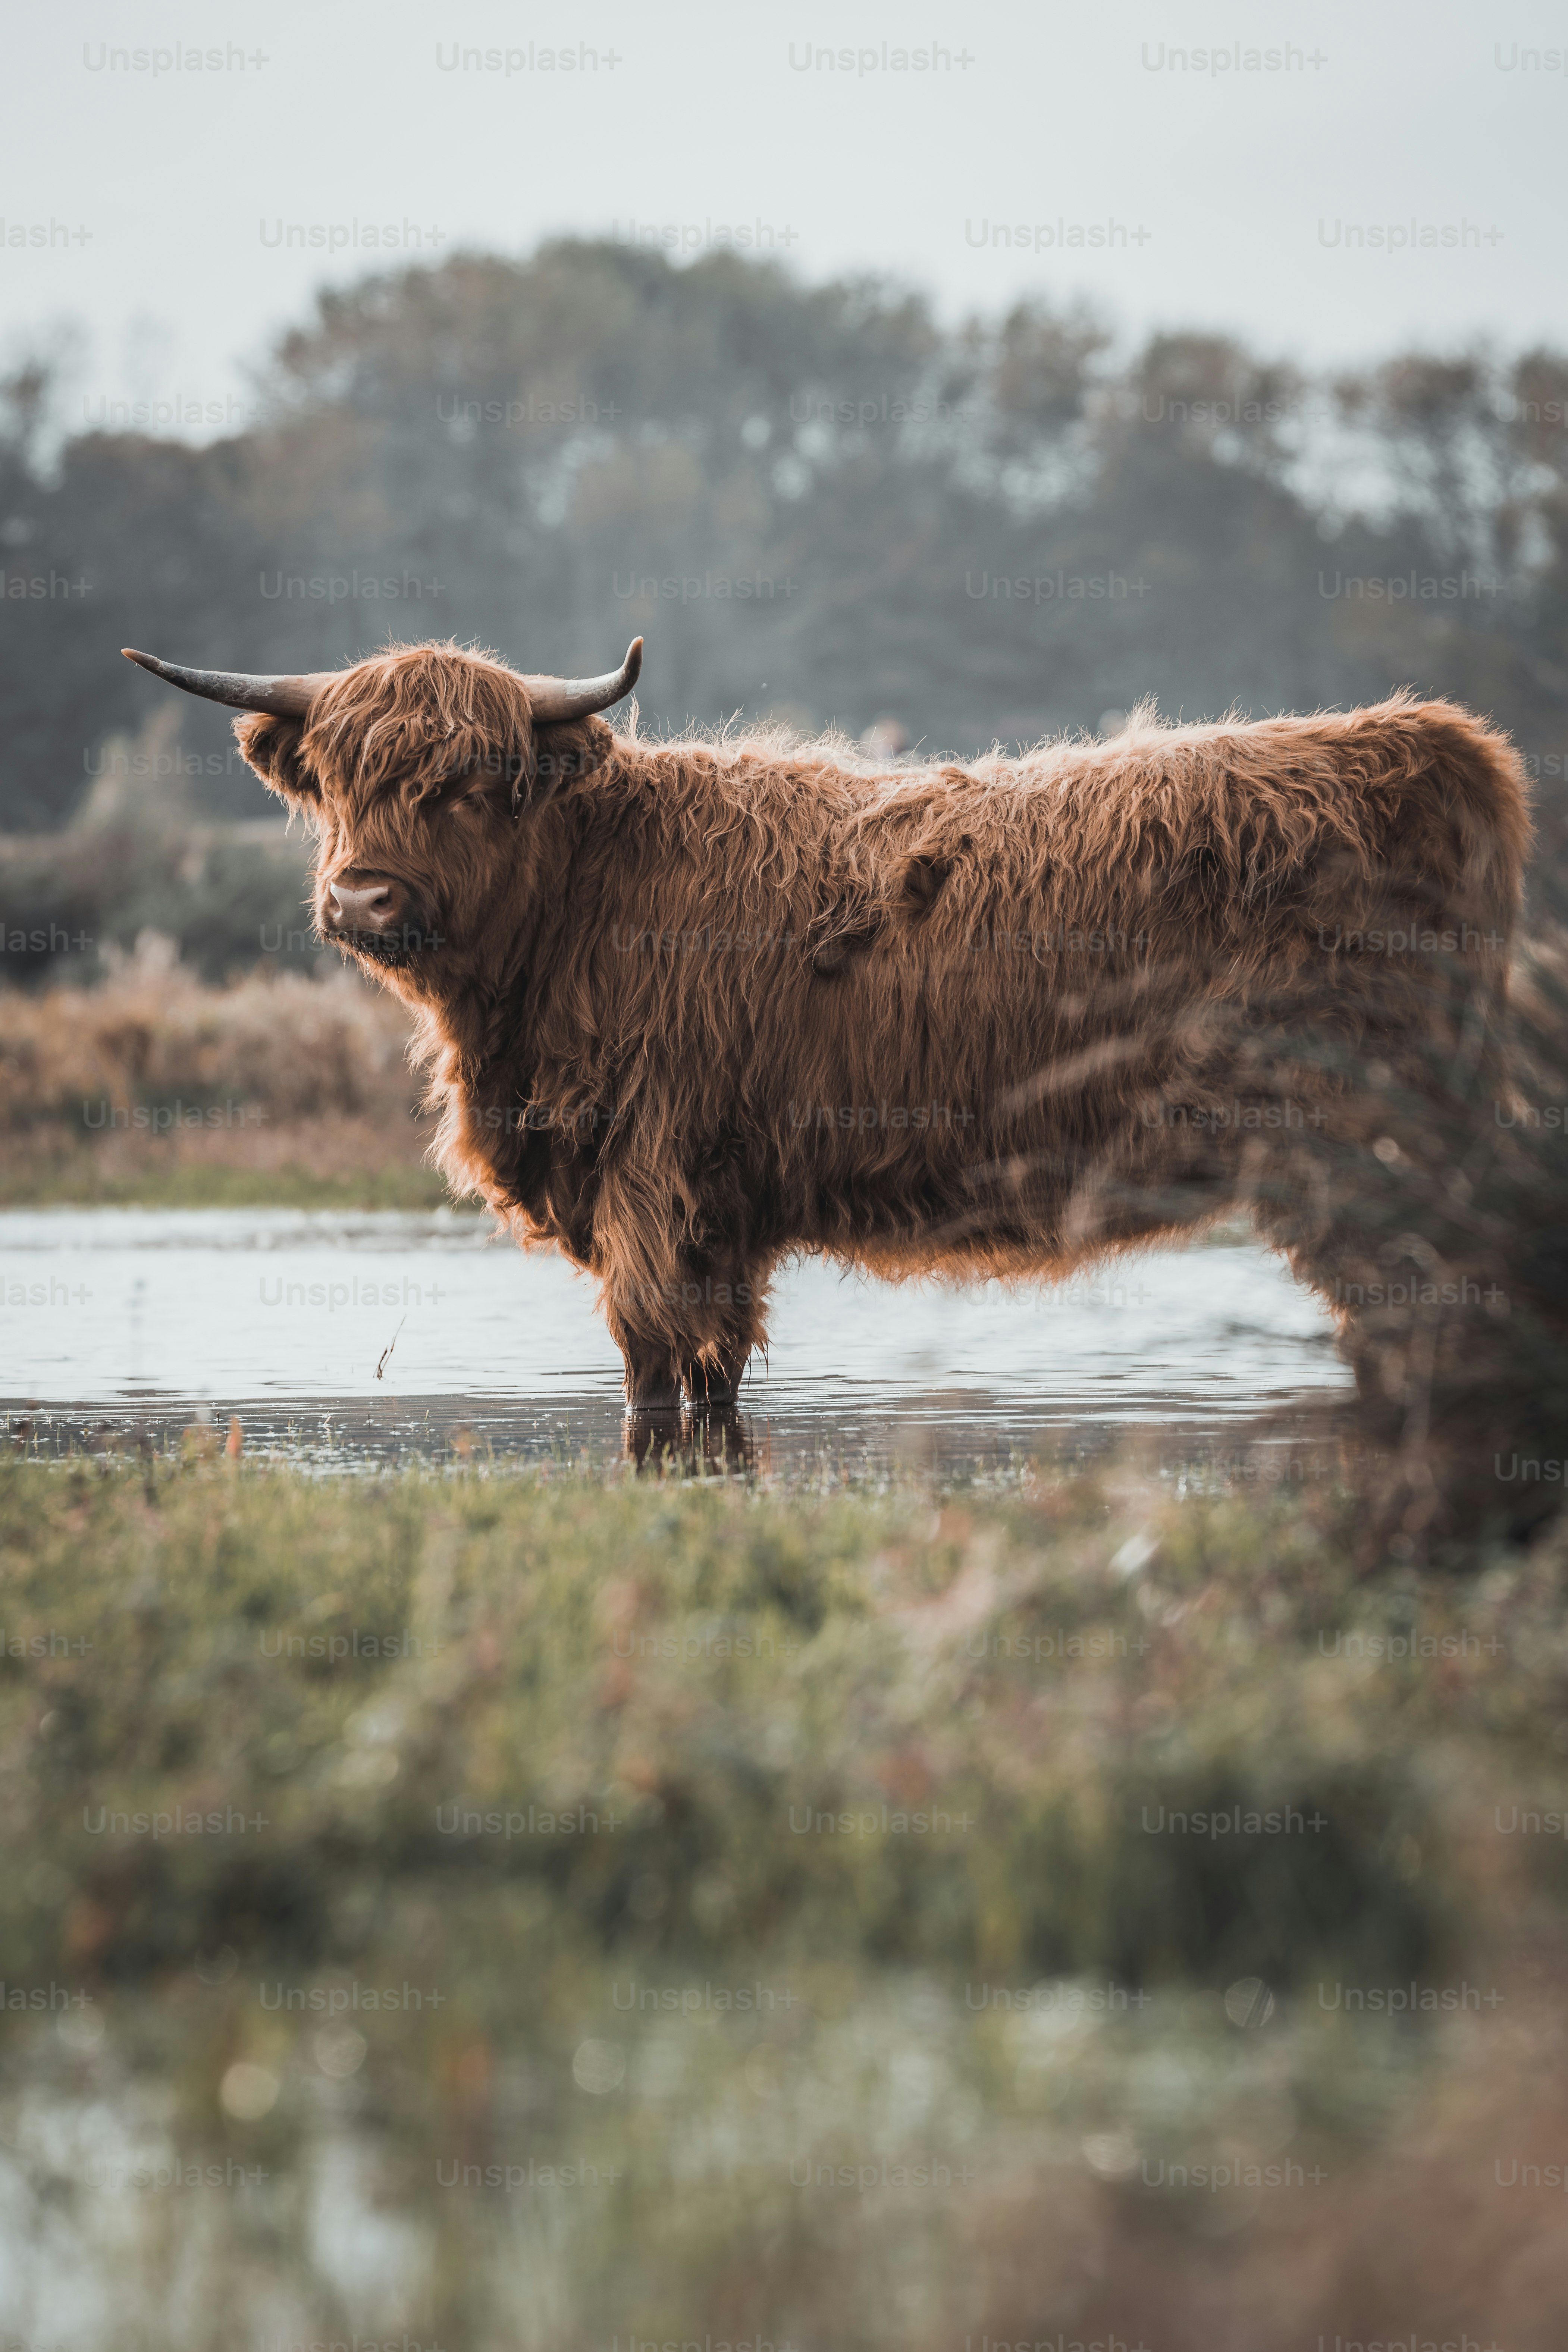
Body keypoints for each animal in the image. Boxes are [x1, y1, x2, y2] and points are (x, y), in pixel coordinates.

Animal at [123, 638, 1531, 1470]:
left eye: (471, 783)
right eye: (333, 779)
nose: (360, 898)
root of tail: (1426, 740)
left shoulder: (648, 1172)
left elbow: (647, 1365)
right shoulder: (718, 1201)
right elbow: (715, 1370)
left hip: (1370, 1141)